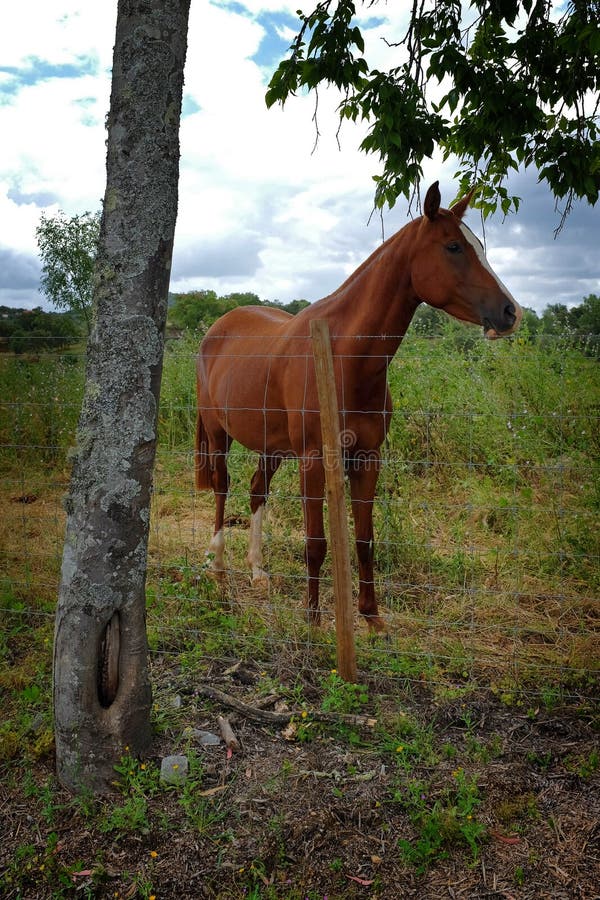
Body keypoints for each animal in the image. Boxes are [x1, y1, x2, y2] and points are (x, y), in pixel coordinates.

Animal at [194, 182, 522, 631]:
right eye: (454, 246)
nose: (510, 313)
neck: (343, 356)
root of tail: (217, 329)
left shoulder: (367, 459)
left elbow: (365, 540)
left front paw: (372, 617)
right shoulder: (315, 460)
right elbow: (316, 541)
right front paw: (313, 620)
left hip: (271, 446)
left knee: (257, 490)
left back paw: (258, 570)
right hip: (218, 433)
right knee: (222, 488)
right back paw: (217, 566)